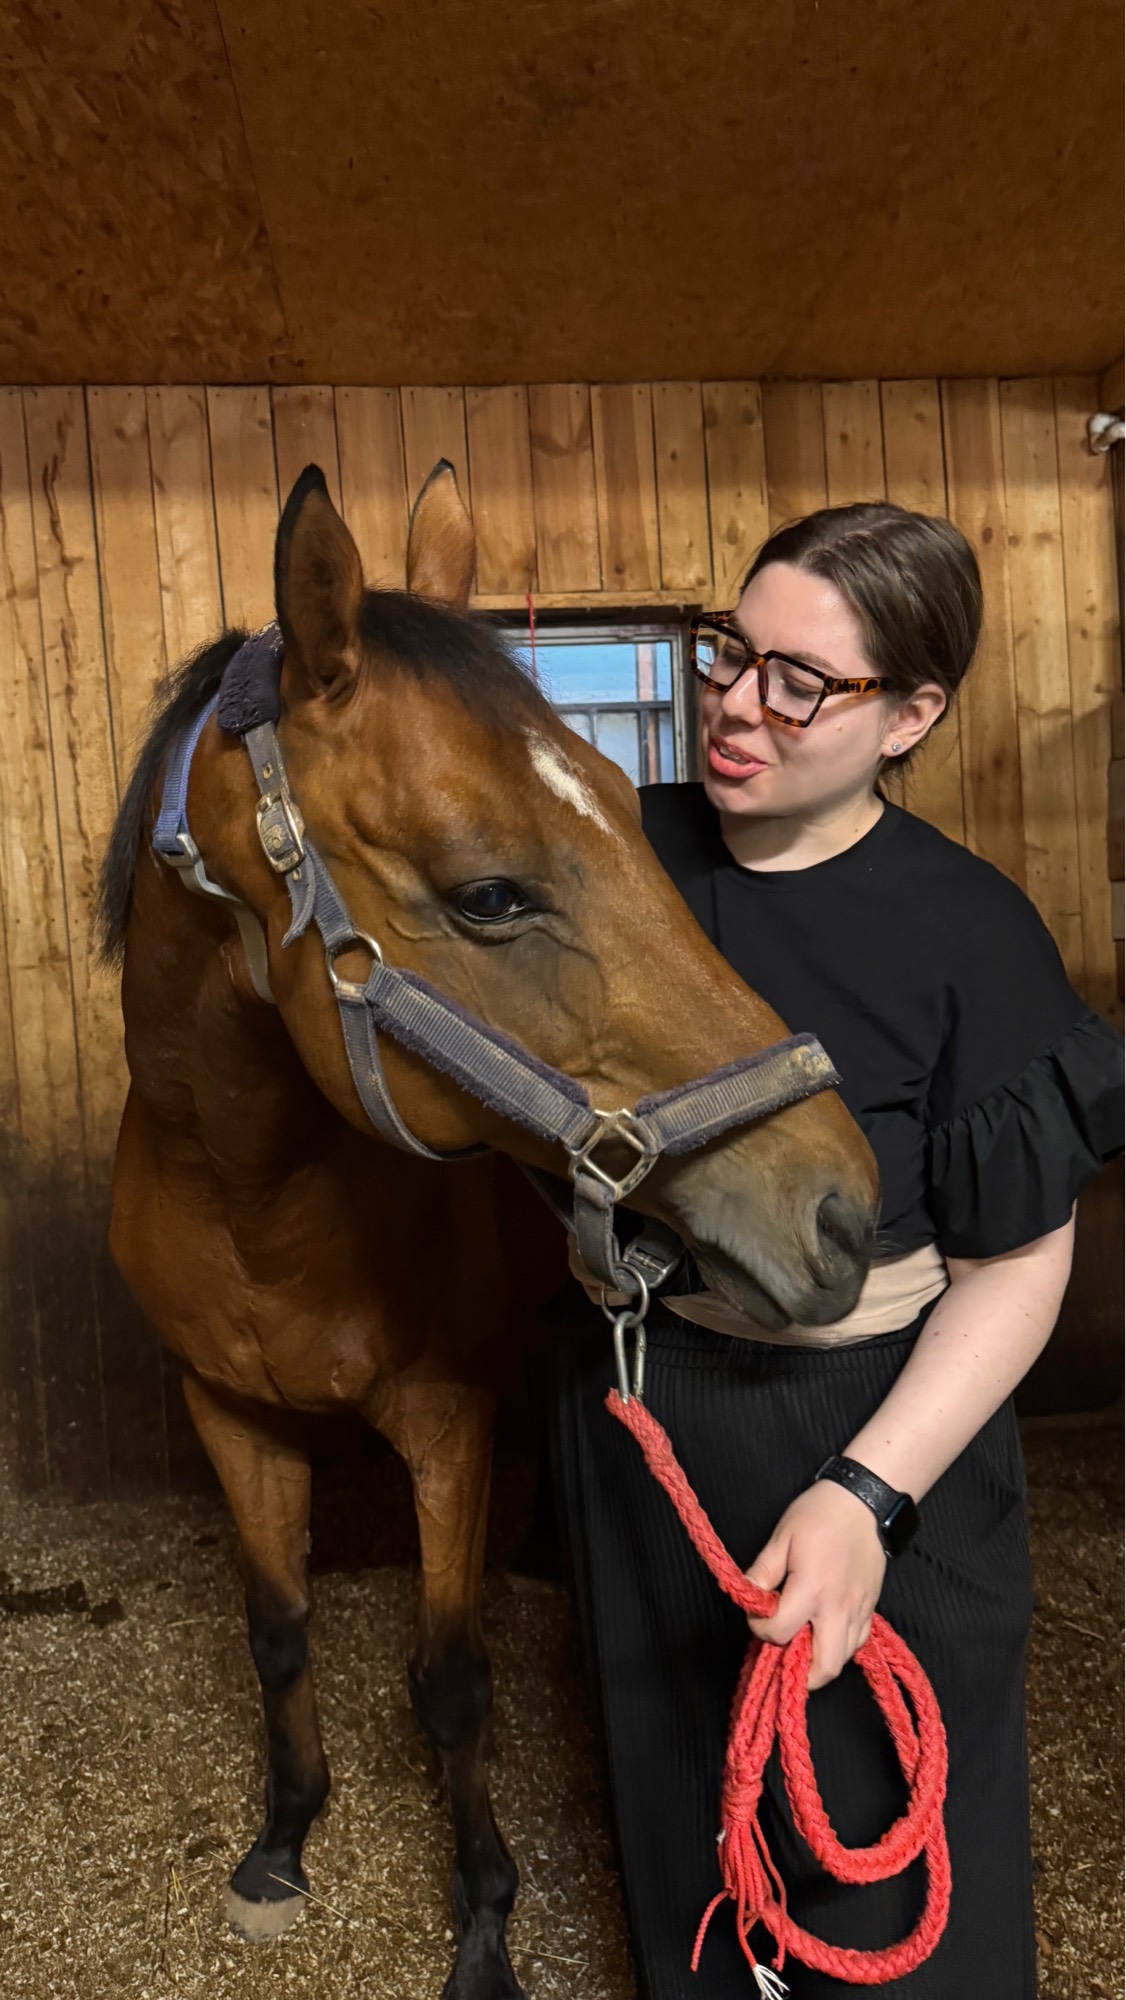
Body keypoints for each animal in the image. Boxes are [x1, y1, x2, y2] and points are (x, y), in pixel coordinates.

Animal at [98, 458, 878, 2000]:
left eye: (634, 818)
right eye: (489, 894)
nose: (838, 1206)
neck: (248, 1195)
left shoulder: (443, 1419)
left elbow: (451, 1682)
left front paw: (483, 1926)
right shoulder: (228, 1413)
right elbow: (278, 1631)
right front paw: (282, 1842)